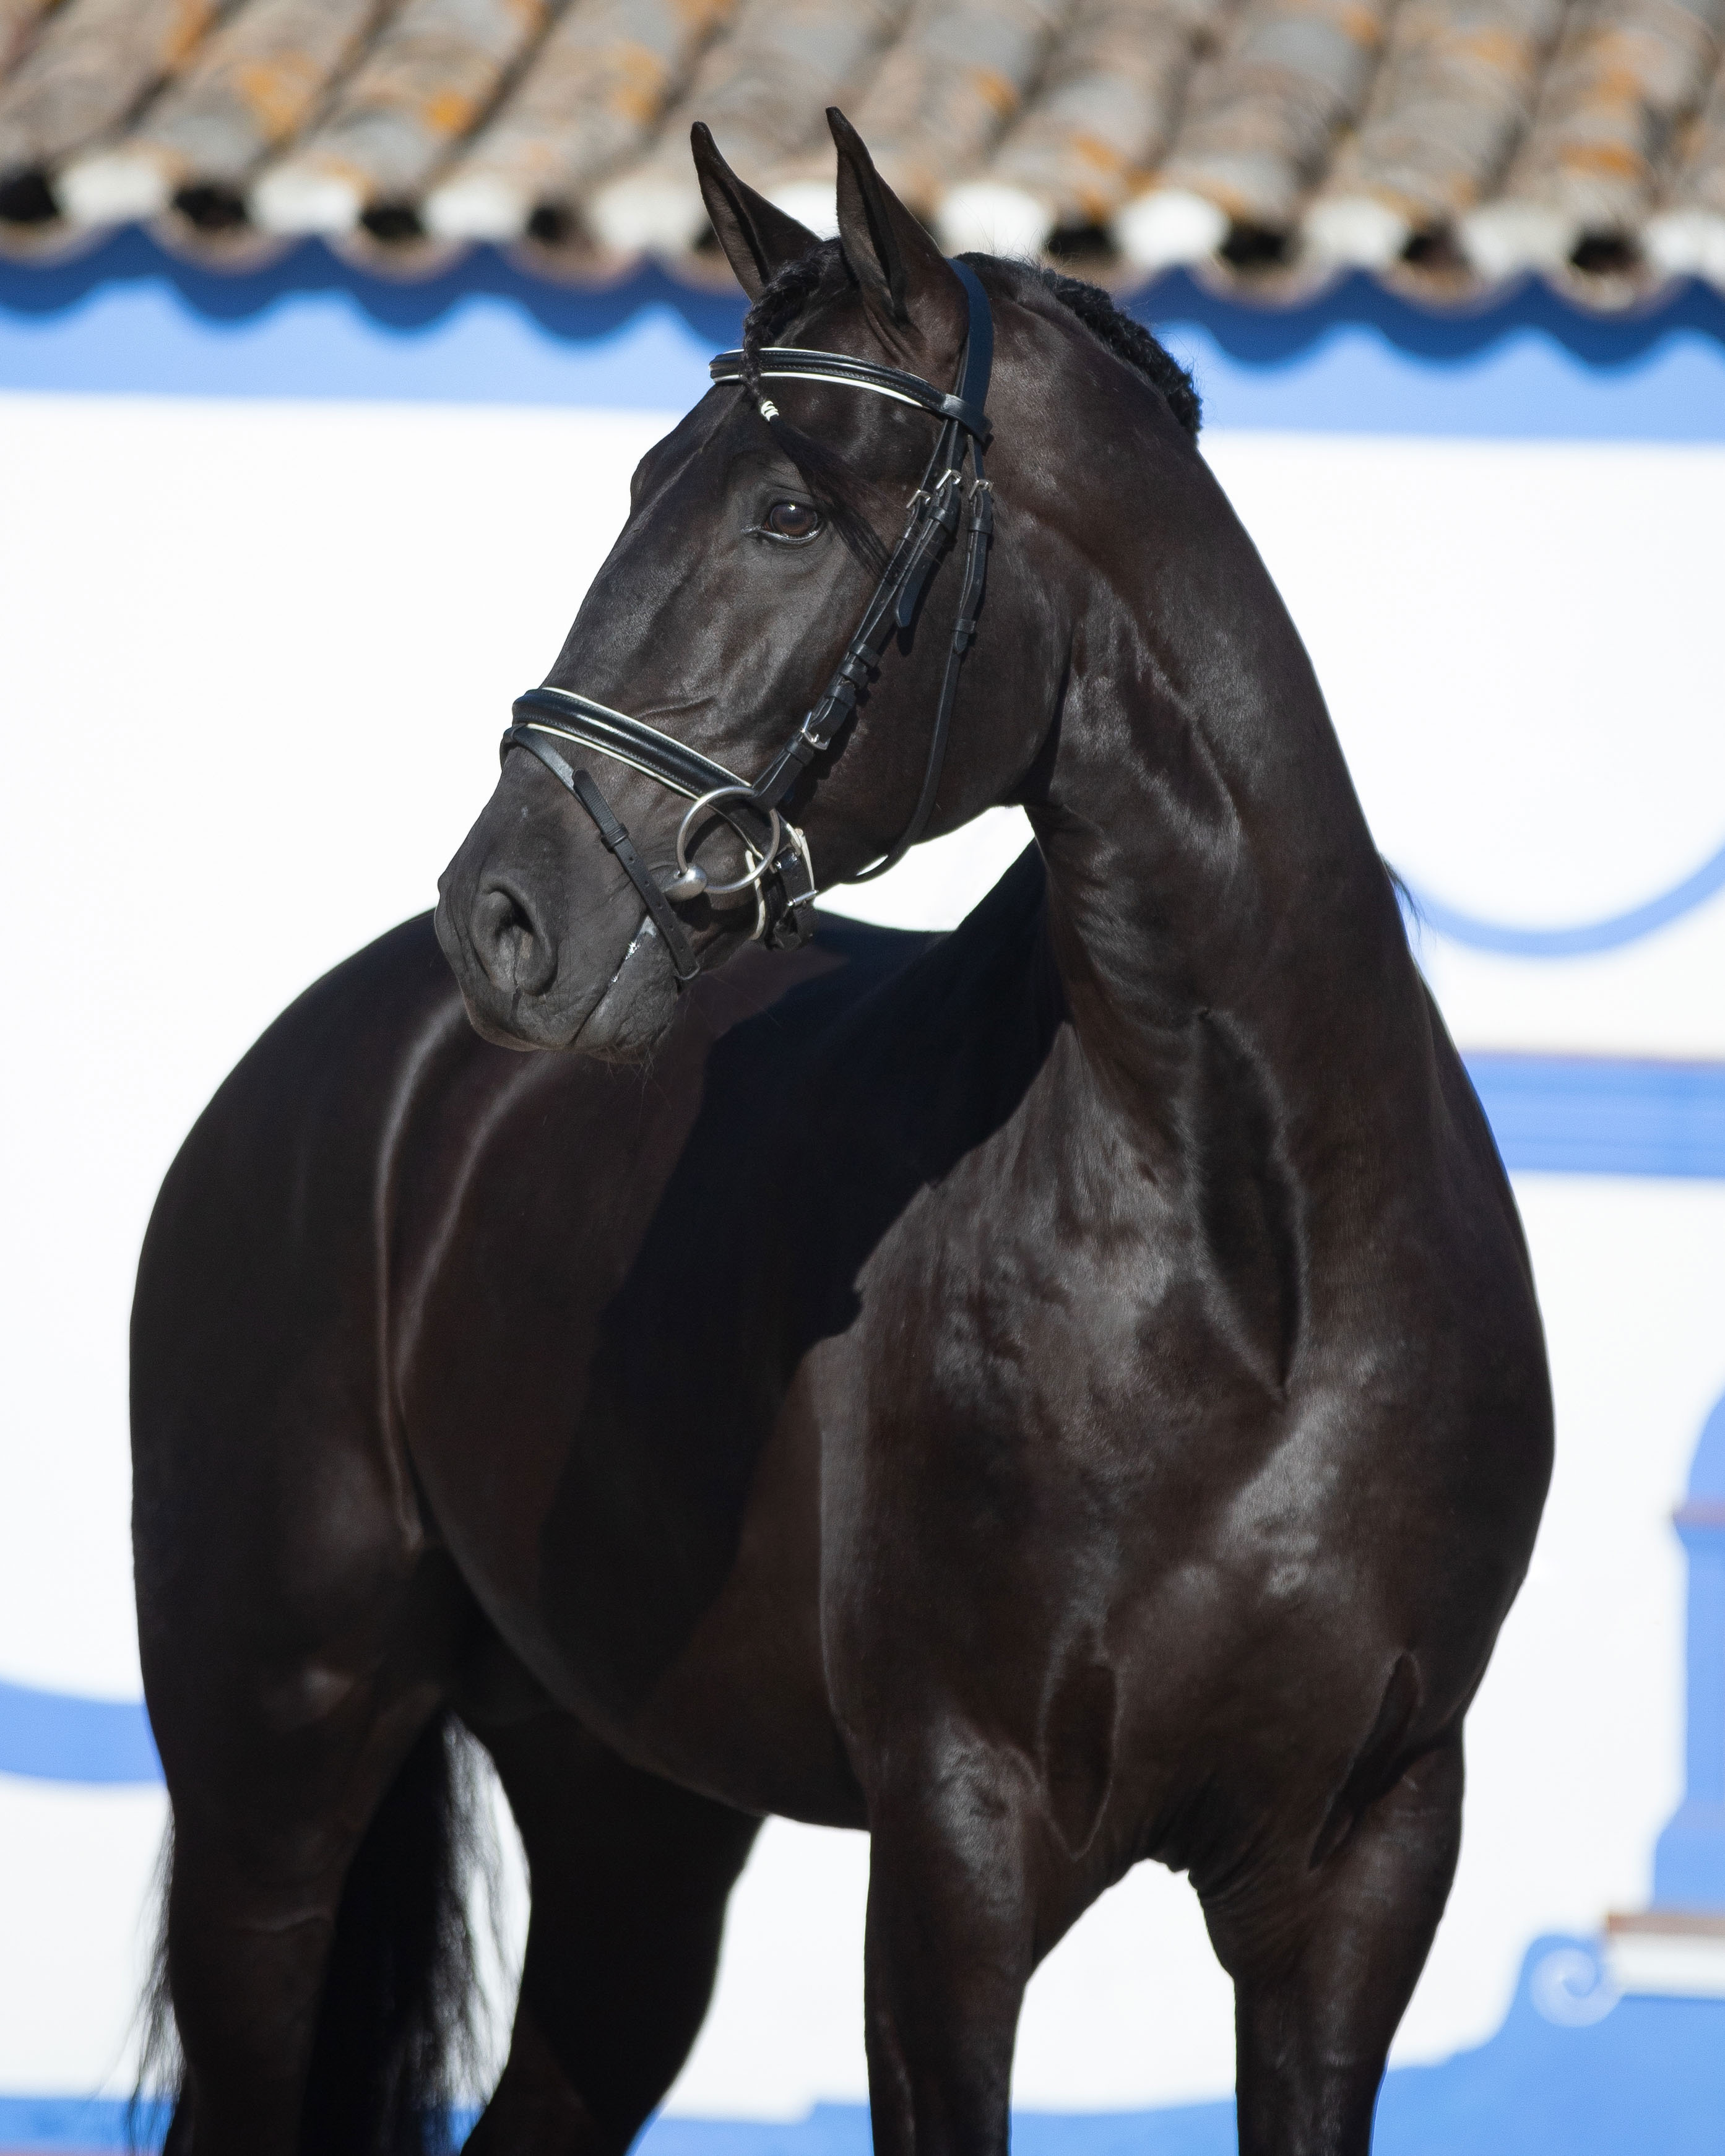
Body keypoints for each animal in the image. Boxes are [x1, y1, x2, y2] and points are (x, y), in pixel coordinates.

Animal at [131, 109, 1552, 2156]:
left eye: (788, 512)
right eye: (643, 480)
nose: (508, 913)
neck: (1258, 1255)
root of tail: (334, 1070)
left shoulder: (1358, 1868)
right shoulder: (955, 1846)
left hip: (629, 1824)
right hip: (274, 1770)